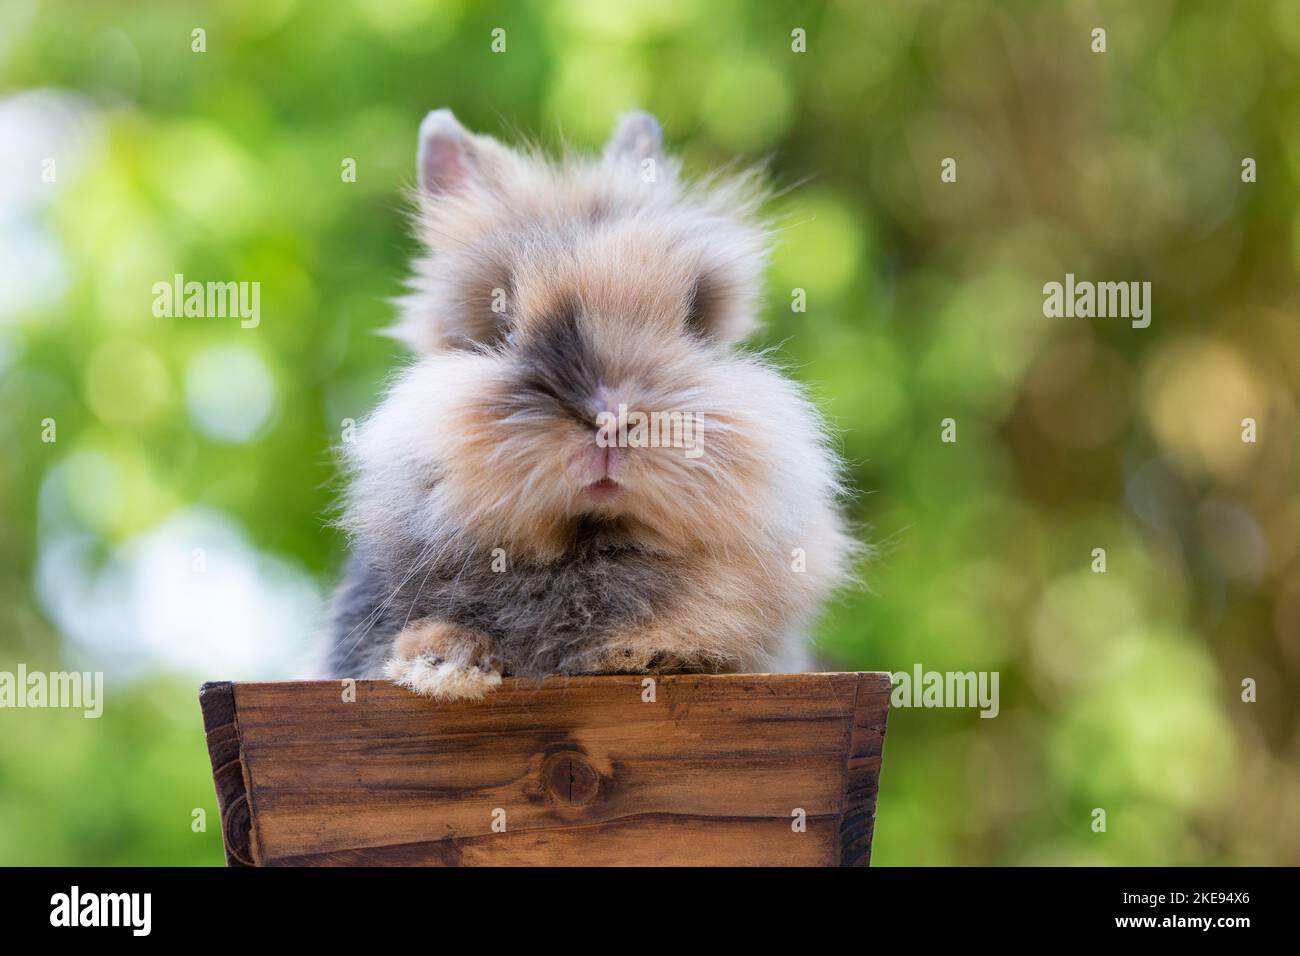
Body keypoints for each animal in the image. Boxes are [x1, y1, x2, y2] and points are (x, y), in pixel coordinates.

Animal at [325, 108, 856, 701]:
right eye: (500, 321)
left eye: (696, 317)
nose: (610, 415)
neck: (587, 546)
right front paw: (442, 660)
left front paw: (648, 651)